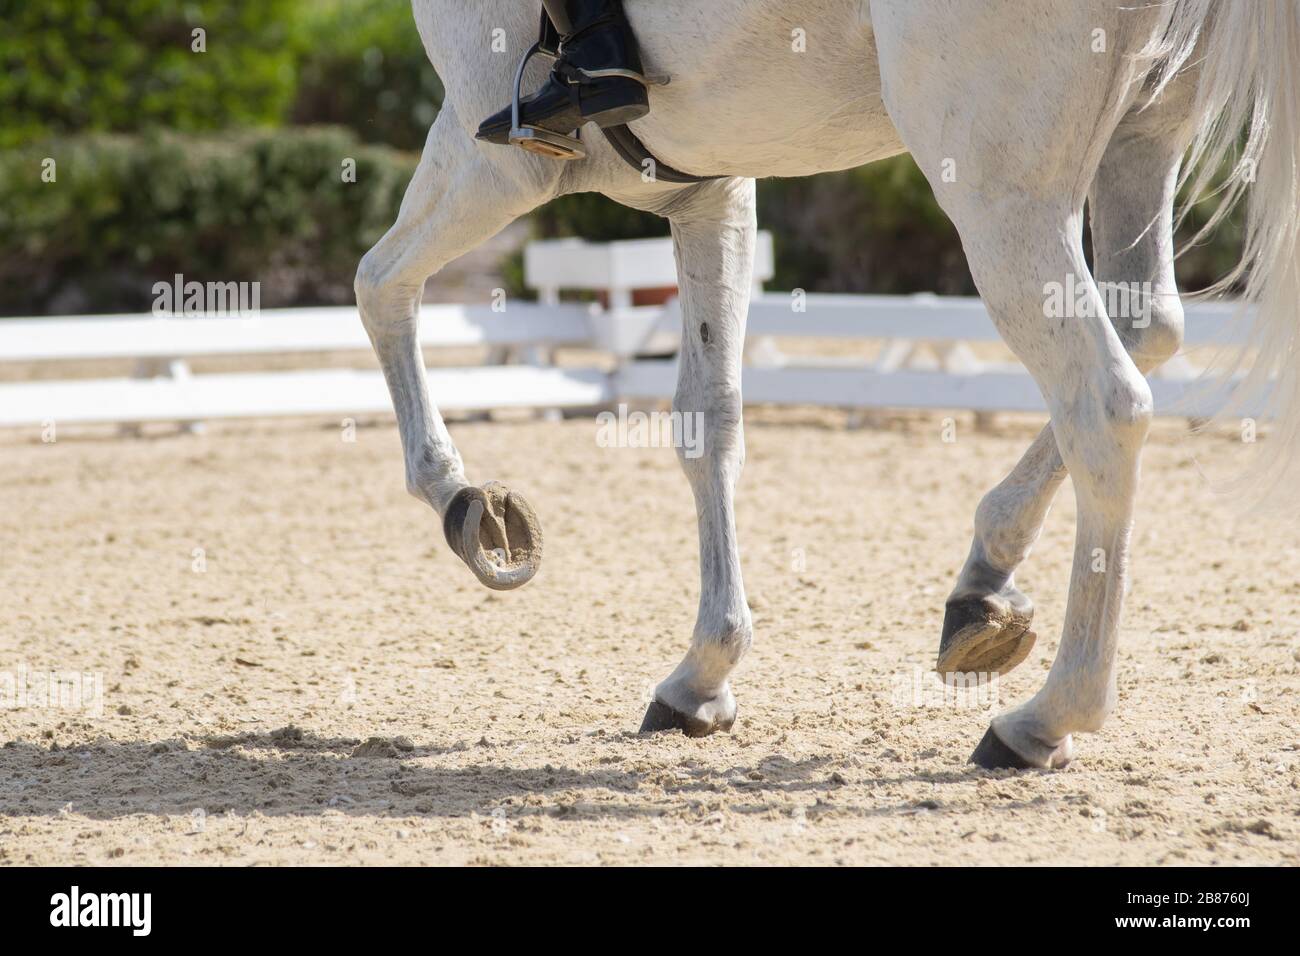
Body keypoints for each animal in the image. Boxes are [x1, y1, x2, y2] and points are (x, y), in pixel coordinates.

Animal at [355, 0, 1300, 769]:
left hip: (1000, 186)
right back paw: (982, 587)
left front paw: (468, 508)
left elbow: (378, 284)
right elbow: (708, 422)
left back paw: (1042, 720)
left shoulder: (500, 155)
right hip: (1141, 132)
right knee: (1149, 327)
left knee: (1102, 402)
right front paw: (701, 677)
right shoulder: (707, 188)